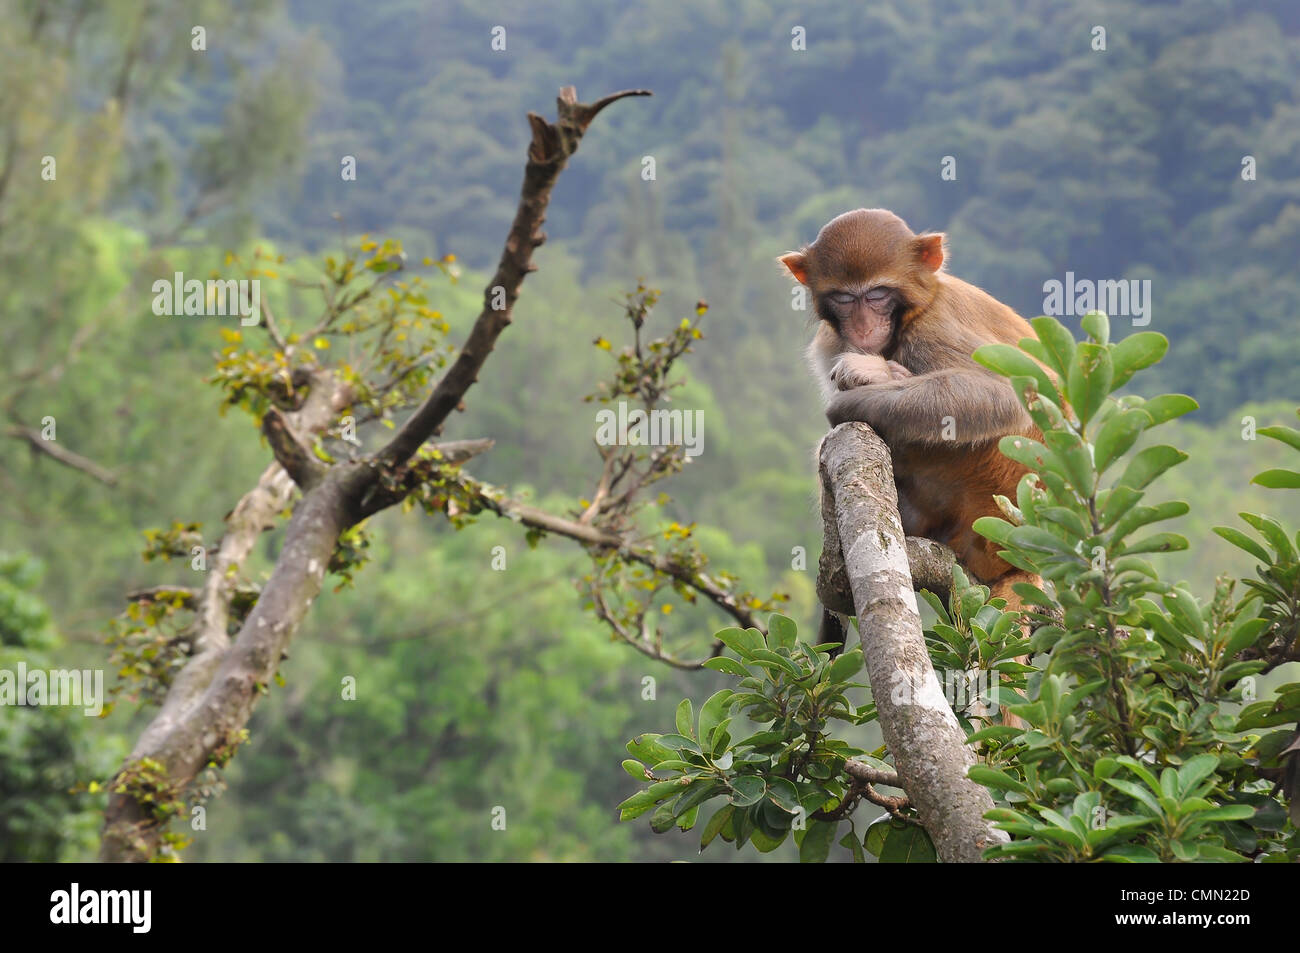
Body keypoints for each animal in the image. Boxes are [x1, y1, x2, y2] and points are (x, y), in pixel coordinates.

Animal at [780, 208, 1040, 653]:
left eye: (878, 294)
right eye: (845, 298)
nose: (864, 328)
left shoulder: (934, 328)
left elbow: (1006, 393)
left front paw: (854, 395)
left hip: (986, 490)